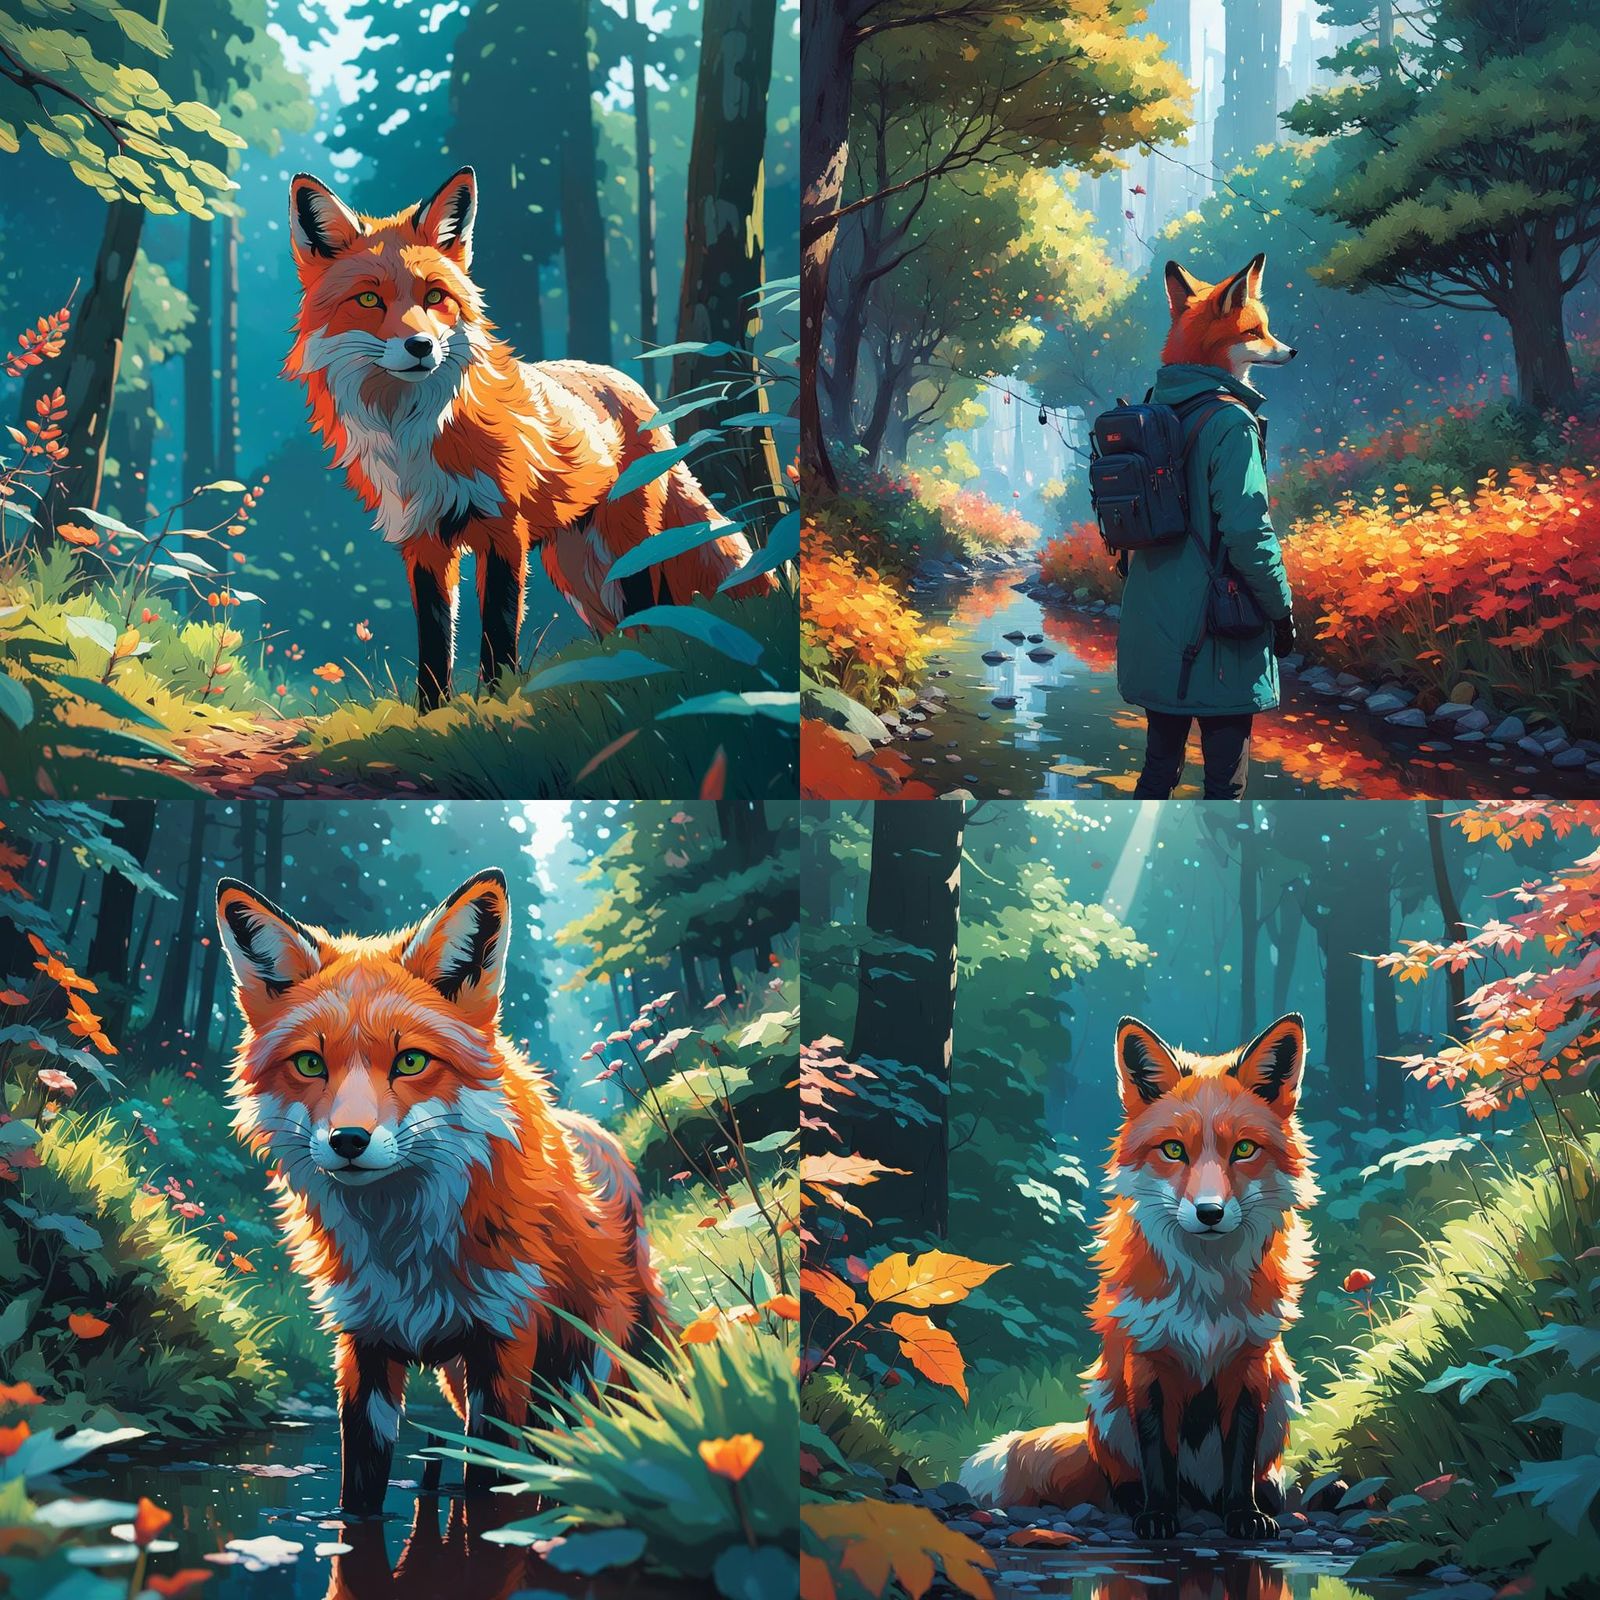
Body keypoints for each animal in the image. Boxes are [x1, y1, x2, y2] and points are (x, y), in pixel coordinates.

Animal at [217, 867, 671, 1515]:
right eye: (309, 1063)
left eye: (410, 1061)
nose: (348, 1140)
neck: (405, 1247)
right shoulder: (365, 1344)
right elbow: (359, 1495)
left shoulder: (504, 1341)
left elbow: (492, 1488)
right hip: (464, 1381)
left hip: (595, 1374)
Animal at [286, 166, 774, 711]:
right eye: (369, 299)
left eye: (435, 297)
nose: (421, 346)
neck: (417, 430)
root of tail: (636, 390)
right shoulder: (423, 540)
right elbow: (434, 641)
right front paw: (432, 713)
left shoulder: (505, 530)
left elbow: (498, 634)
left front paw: (497, 705)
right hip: (576, 569)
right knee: (622, 624)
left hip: (628, 544)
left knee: (649, 611)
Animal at [961, 1013, 1318, 1541]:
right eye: (1173, 1150)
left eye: (1243, 1149)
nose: (1209, 1213)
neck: (1205, 1291)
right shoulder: (1146, 1363)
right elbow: (1157, 1457)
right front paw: (1157, 1516)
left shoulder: (1251, 1364)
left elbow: (1239, 1456)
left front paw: (1244, 1515)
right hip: (1106, 1402)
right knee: (1120, 1476)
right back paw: (1137, 1503)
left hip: (1281, 1387)